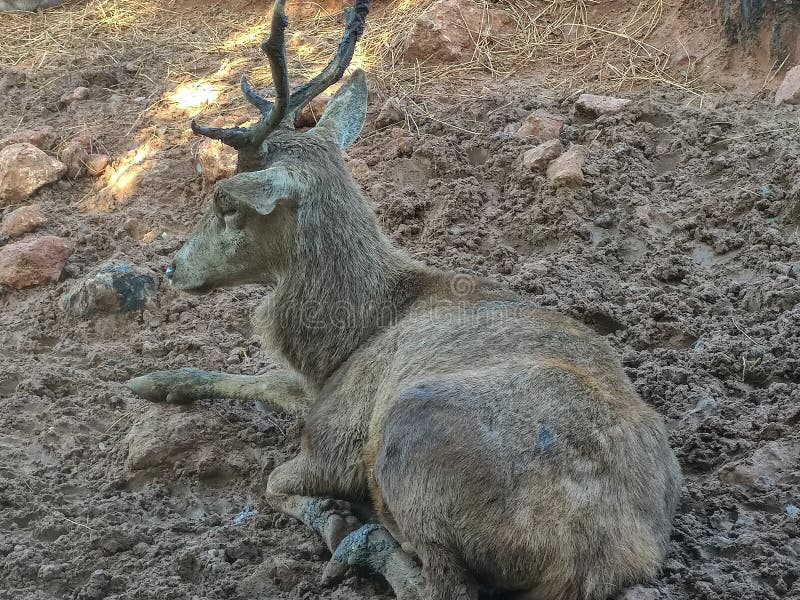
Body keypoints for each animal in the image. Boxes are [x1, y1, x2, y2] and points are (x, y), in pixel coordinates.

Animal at [127, 1, 682, 598]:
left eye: (226, 202)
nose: (172, 267)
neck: (347, 340)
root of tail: (598, 560)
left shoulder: (336, 438)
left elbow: (274, 482)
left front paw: (334, 515)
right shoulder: (319, 390)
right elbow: (263, 380)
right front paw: (153, 382)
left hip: (408, 438)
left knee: (441, 584)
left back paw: (363, 540)